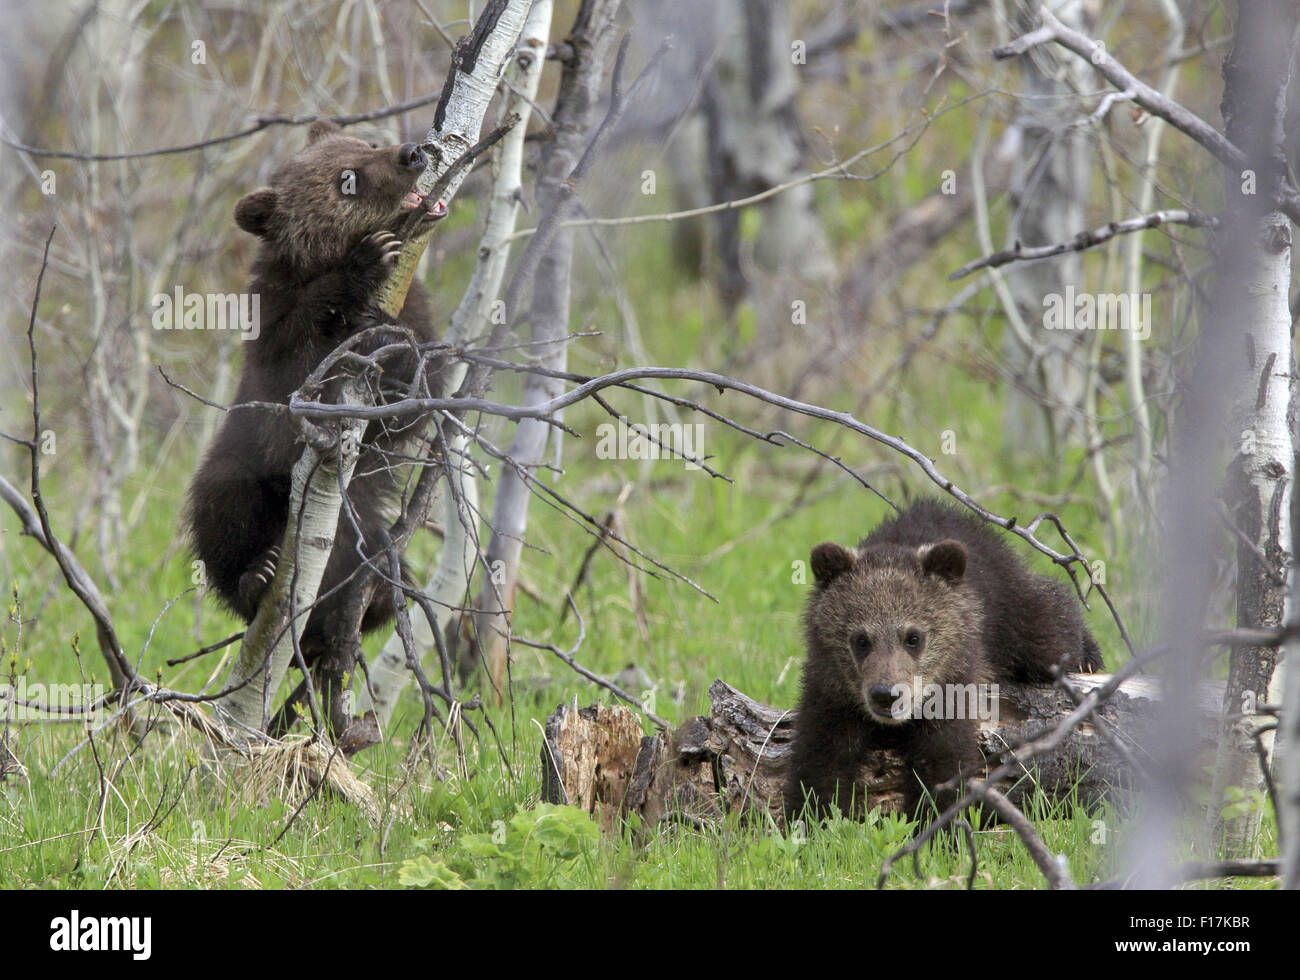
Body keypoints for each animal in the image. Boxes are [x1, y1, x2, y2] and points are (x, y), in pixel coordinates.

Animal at [185, 117, 445, 692]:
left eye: (367, 142)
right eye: (347, 178)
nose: (412, 152)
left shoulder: (420, 315)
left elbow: (418, 395)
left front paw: (386, 346)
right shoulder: (271, 333)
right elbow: (298, 372)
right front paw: (363, 265)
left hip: (362, 523)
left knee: (382, 569)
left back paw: (374, 593)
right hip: (239, 474)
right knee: (221, 507)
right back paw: (256, 577)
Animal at [784, 498, 1103, 826]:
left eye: (914, 637)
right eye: (860, 640)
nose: (886, 694)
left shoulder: (954, 680)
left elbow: (943, 758)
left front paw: (939, 821)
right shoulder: (831, 688)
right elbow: (821, 757)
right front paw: (810, 816)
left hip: (1012, 615)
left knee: (1049, 624)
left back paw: (1087, 656)